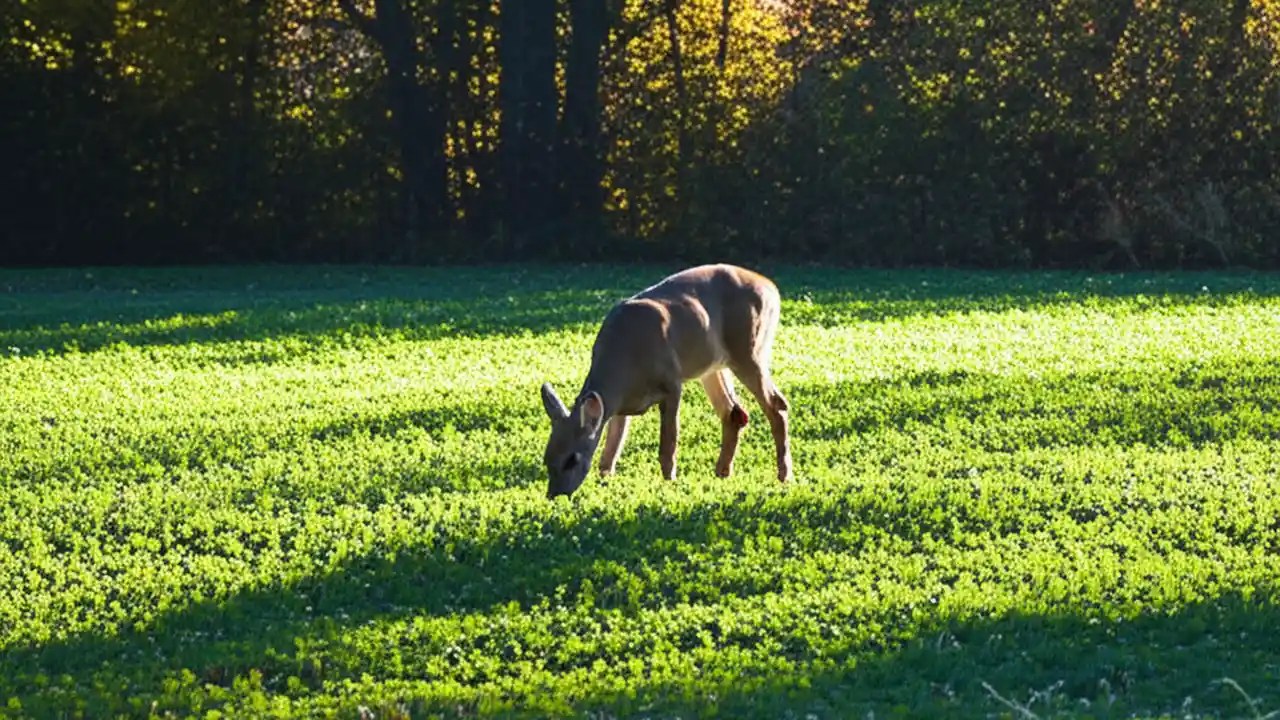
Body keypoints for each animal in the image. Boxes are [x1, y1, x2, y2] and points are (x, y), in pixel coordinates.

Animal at [540, 264, 792, 499]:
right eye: (547, 457)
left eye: (571, 459)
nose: (555, 494)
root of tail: (772, 288)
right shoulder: (618, 404)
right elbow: (612, 446)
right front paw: (605, 478)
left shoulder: (672, 382)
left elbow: (668, 442)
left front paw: (669, 480)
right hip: (712, 365)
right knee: (735, 413)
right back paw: (722, 472)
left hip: (749, 350)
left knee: (777, 405)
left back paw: (784, 475)